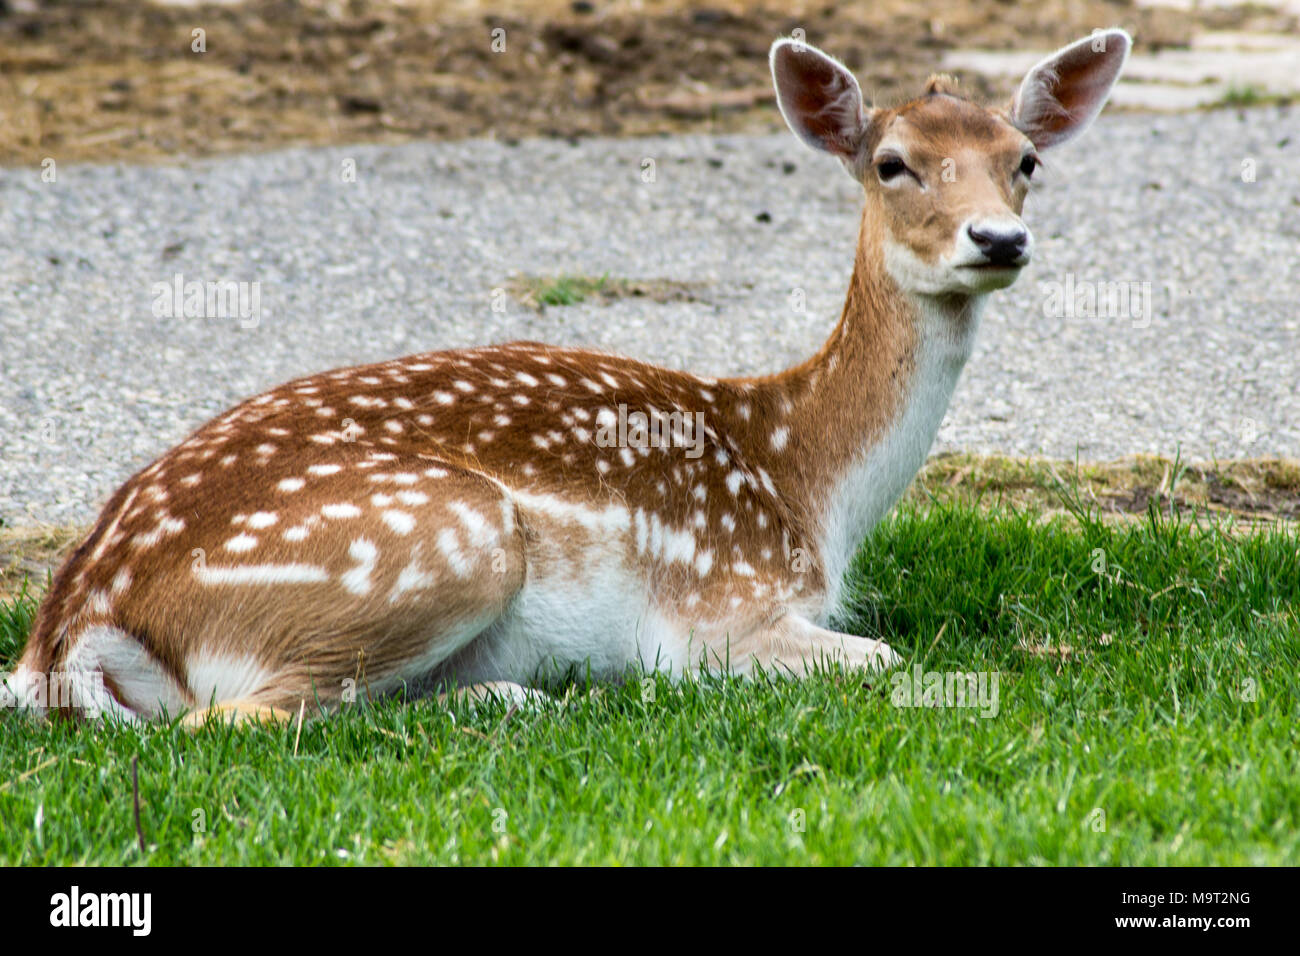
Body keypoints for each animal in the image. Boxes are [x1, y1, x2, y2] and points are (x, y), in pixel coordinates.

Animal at [4, 30, 1131, 724]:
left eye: (1025, 159)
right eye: (892, 162)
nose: (999, 239)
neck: (806, 482)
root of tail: (68, 634)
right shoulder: (715, 610)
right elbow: (885, 658)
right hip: (441, 537)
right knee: (240, 717)